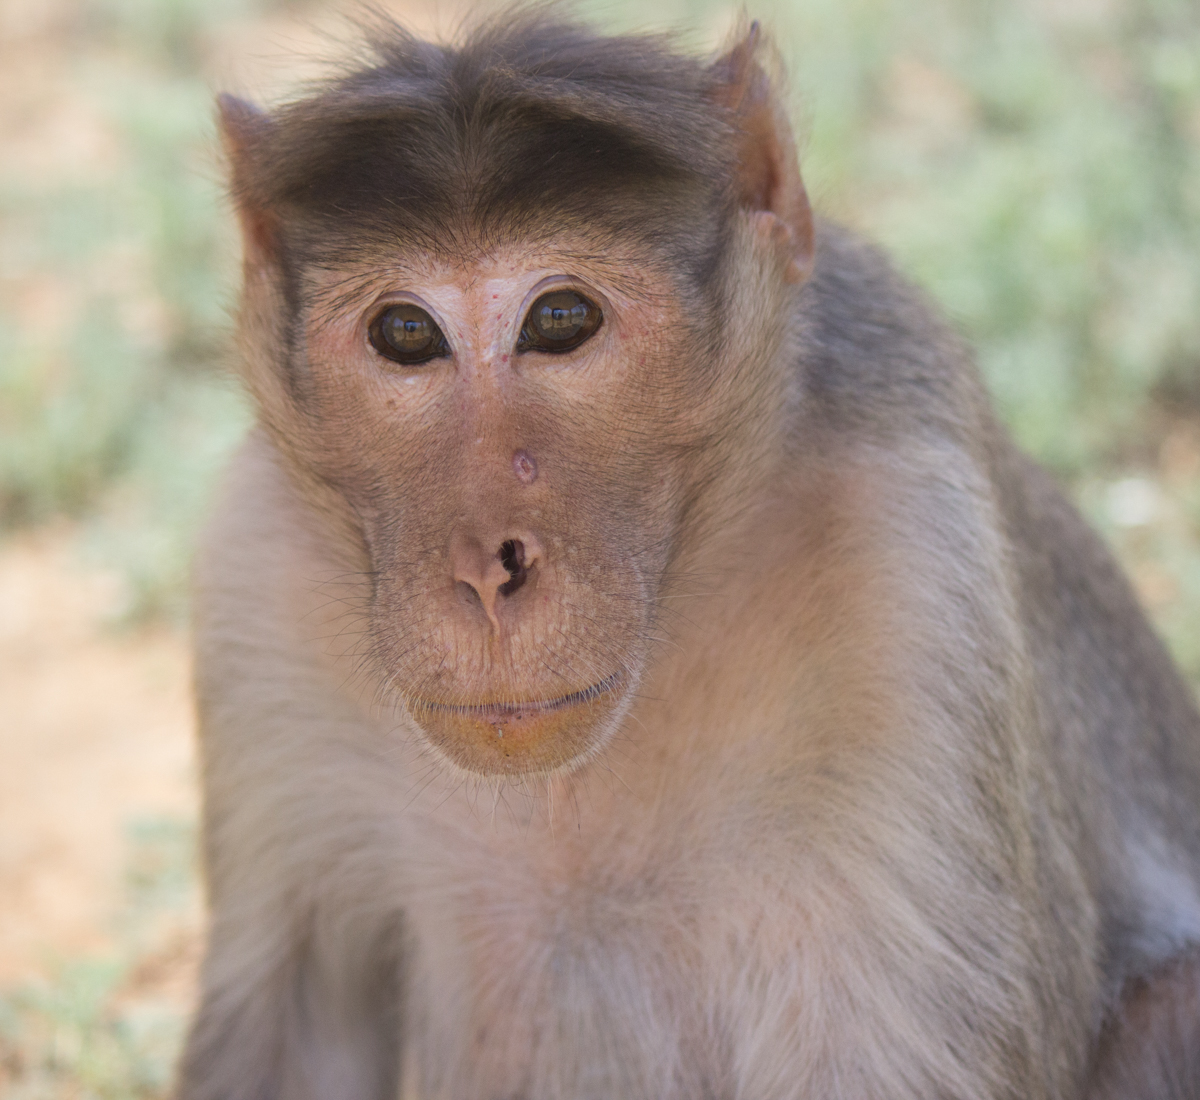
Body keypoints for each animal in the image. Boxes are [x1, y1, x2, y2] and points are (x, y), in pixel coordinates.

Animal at [179, 9, 1200, 1099]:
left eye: (561, 319)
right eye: (406, 332)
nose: (488, 565)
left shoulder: (915, 568)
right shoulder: (256, 566)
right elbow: (289, 1037)